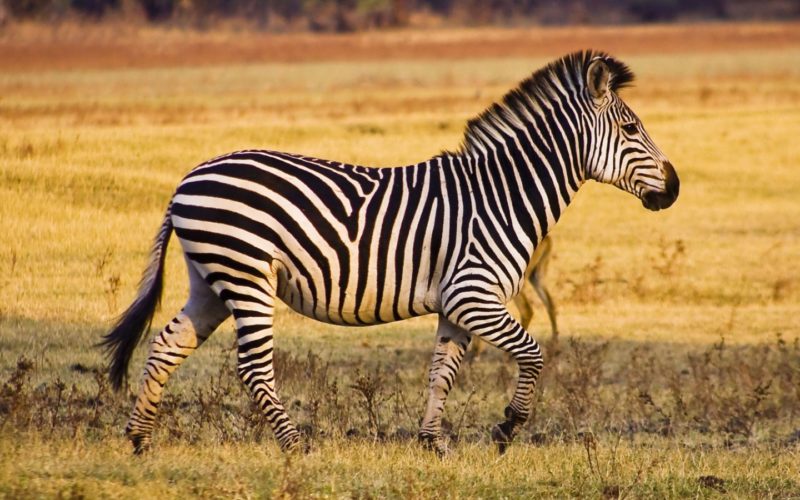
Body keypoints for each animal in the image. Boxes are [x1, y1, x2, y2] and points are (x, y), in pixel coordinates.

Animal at [101, 50, 679, 456]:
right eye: (631, 129)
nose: (673, 189)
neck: (503, 195)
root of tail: (187, 180)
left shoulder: (456, 303)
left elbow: (441, 372)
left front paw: (433, 444)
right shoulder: (474, 294)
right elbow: (533, 354)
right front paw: (506, 428)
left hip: (211, 280)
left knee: (167, 344)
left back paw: (139, 440)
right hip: (245, 275)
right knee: (253, 367)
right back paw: (295, 446)